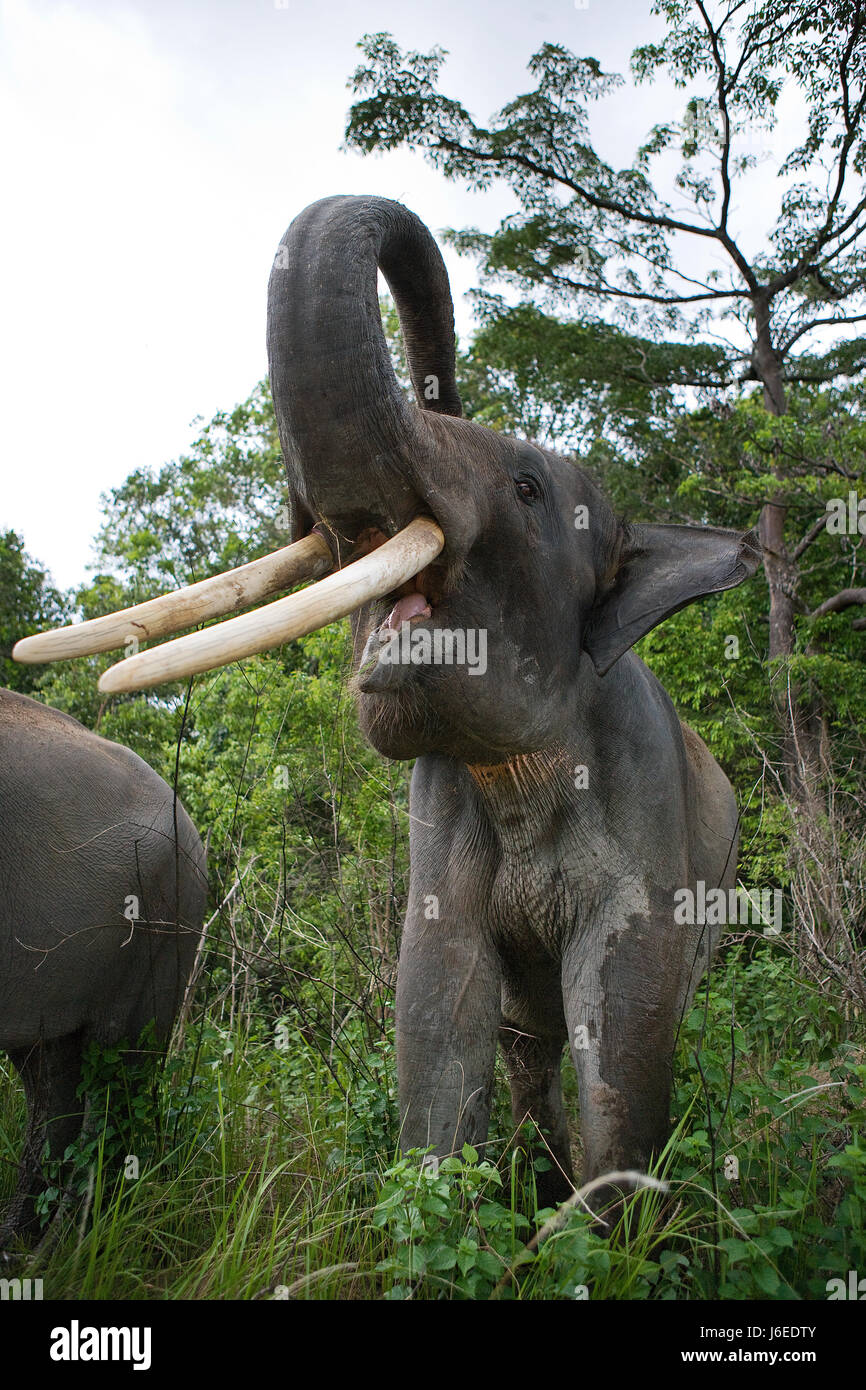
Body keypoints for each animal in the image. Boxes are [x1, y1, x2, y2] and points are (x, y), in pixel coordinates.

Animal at [17, 195, 760, 1218]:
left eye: (526, 487)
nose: (436, 382)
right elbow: (436, 1000)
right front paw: (460, 1212)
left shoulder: (646, 801)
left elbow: (627, 1008)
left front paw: (598, 1232)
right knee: (526, 1040)